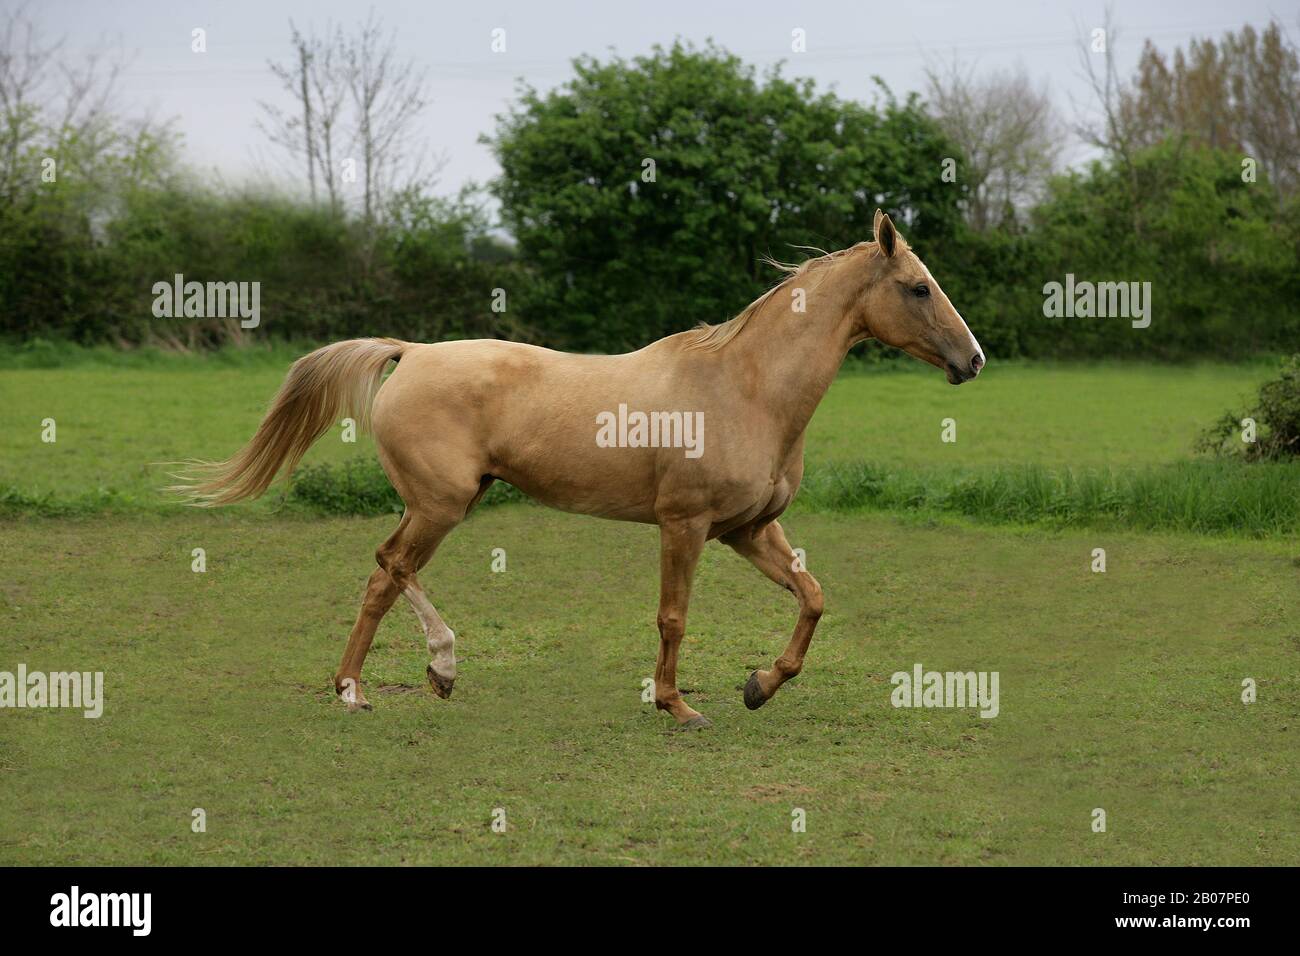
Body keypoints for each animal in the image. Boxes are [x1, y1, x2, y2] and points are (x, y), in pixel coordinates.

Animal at [172, 209, 984, 729]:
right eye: (918, 287)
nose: (972, 360)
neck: (746, 388)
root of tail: (412, 352)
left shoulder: (749, 529)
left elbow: (812, 598)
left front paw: (758, 686)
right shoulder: (684, 525)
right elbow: (673, 616)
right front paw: (677, 705)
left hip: (446, 502)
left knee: (384, 571)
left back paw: (405, 678)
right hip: (441, 505)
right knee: (389, 570)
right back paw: (393, 680)